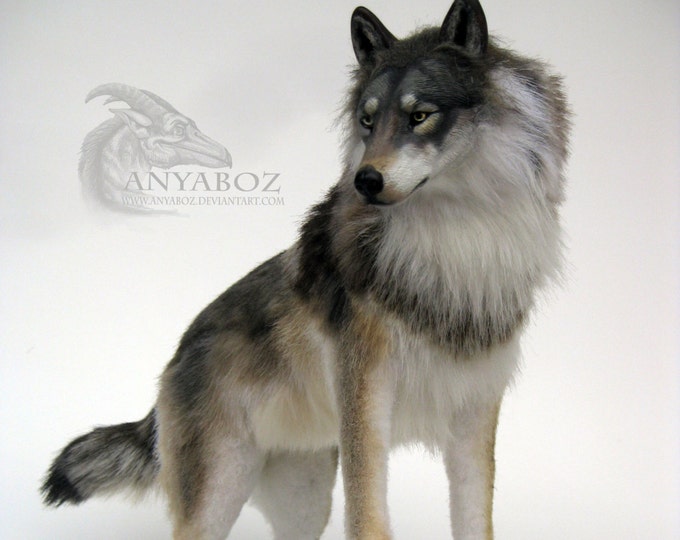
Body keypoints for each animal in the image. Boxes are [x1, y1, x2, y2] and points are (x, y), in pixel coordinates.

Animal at [42, 1, 570, 538]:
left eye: (419, 116)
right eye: (367, 121)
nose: (365, 181)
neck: (457, 238)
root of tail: (171, 365)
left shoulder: (476, 409)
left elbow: (474, 518)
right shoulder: (365, 399)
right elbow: (369, 518)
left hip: (307, 503)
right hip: (218, 500)